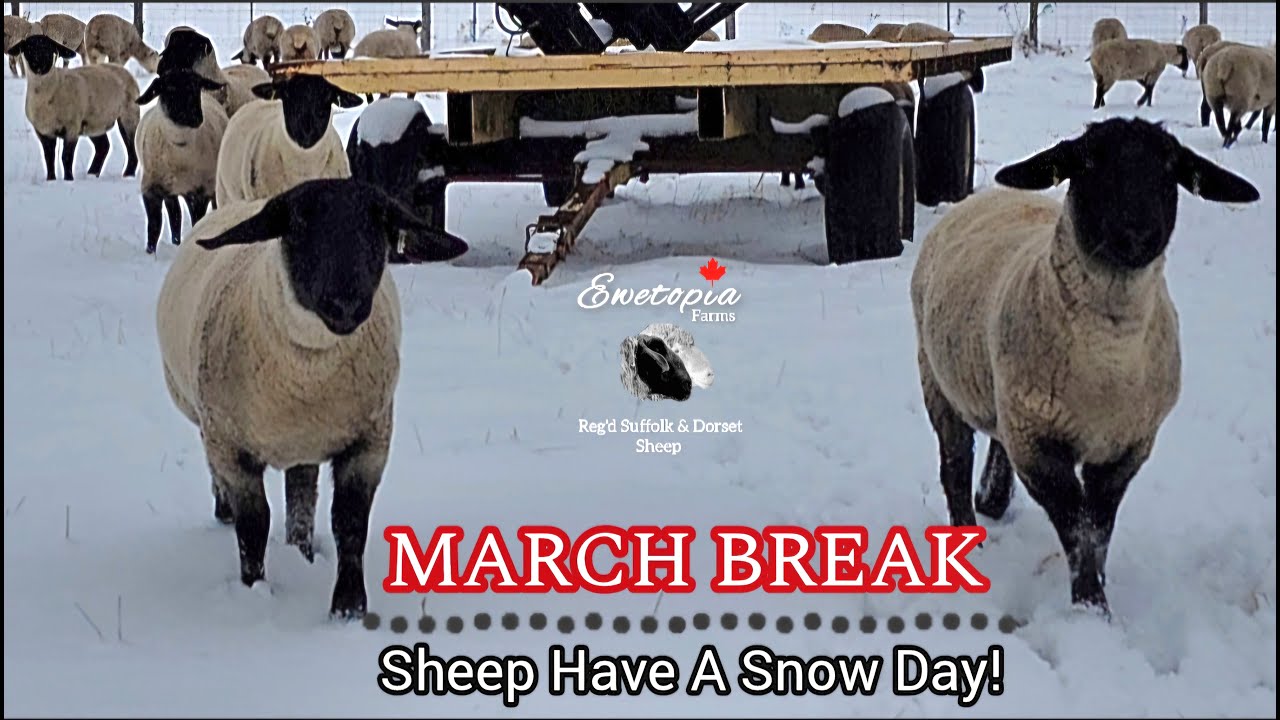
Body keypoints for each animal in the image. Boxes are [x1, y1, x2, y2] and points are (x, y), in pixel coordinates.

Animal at [6, 34, 139, 182]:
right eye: (28, 47)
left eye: (50, 48)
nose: (42, 65)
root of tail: (125, 71)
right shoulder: (43, 131)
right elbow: (49, 158)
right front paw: (51, 180)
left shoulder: (71, 127)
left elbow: (66, 157)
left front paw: (68, 179)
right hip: (94, 121)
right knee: (103, 146)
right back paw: (92, 173)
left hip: (129, 115)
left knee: (131, 148)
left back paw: (128, 174)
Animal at [135, 69, 229, 253]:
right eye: (169, 88)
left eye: (198, 86)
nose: (196, 118)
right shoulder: (151, 189)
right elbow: (155, 226)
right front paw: (150, 252)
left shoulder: (200, 191)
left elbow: (197, 222)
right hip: (170, 189)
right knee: (175, 214)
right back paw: (176, 242)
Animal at [155, 178, 469, 619]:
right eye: (299, 223)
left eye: (379, 222)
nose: (346, 305)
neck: (307, 377)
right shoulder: (231, 446)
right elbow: (254, 525)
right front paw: (254, 590)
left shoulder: (369, 441)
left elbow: (349, 522)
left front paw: (349, 607)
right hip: (207, 421)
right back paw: (225, 510)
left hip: (304, 444)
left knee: (302, 494)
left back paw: (301, 550)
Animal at [910, 117, 1259, 616]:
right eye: (1090, 161)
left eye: (1170, 165)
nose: (1137, 234)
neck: (1108, 355)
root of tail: (987, 196)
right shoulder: (1039, 442)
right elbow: (1076, 527)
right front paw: (1092, 605)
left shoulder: (1125, 447)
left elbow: (1099, 527)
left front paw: (1097, 594)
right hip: (936, 378)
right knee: (955, 465)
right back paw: (965, 540)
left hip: (1001, 390)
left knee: (993, 442)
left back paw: (992, 499)